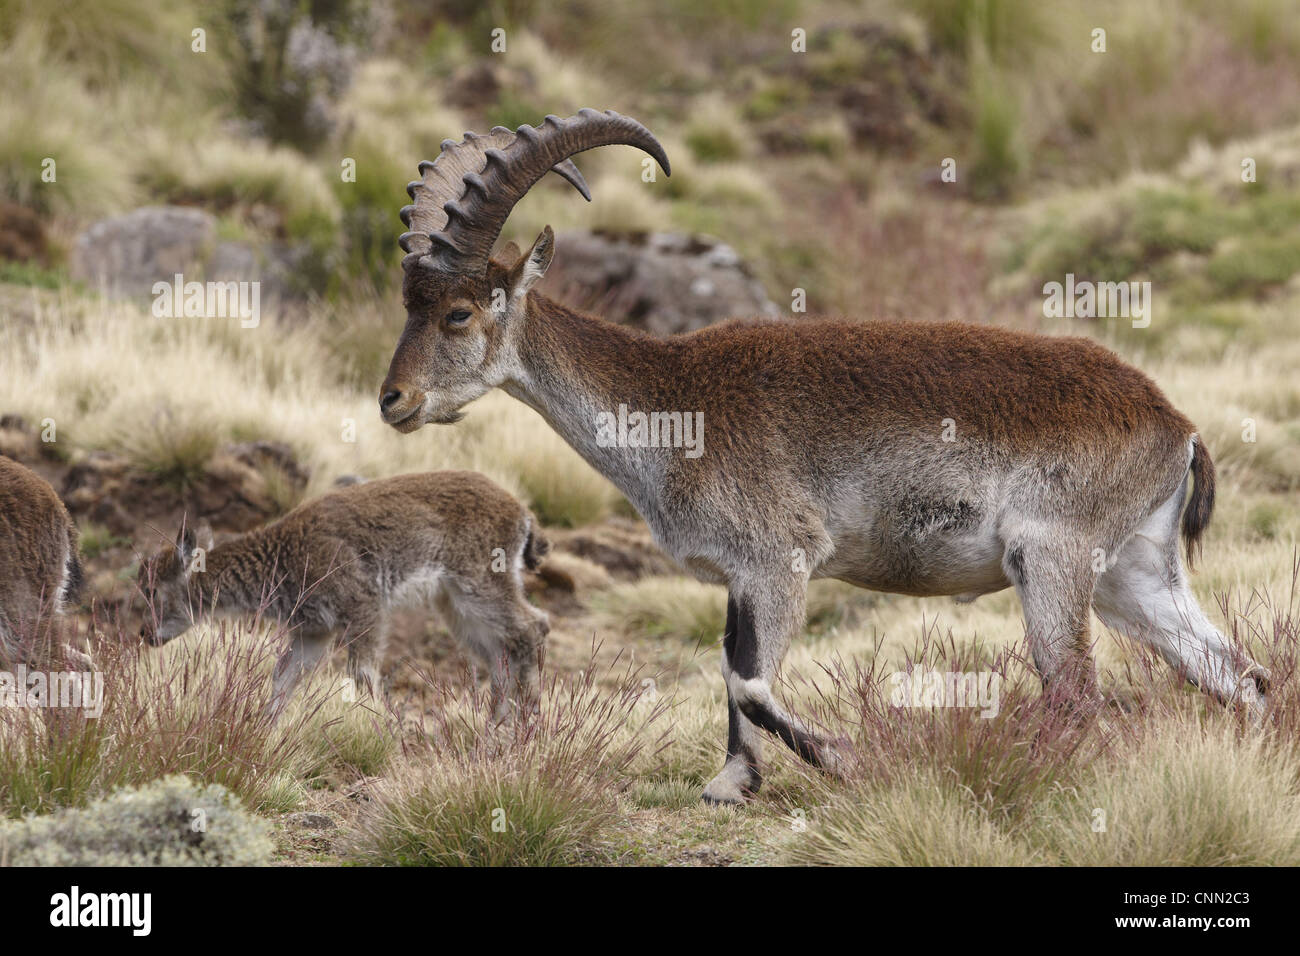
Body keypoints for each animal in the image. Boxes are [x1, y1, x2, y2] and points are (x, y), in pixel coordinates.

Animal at [135, 471, 550, 717]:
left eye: (153, 590)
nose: (145, 634)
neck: (284, 555)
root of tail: (523, 514)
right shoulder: (314, 632)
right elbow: (282, 678)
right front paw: (262, 732)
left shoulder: (363, 605)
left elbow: (362, 674)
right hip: (453, 603)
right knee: (501, 650)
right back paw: (498, 728)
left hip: (479, 583)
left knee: (533, 627)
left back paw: (524, 721)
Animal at [377, 109, 1269, 804]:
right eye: (409, 304)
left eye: (458, 312)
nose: (393, 401)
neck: (673, 407)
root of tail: (1175, 423)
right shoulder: (743, 578)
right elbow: (732, 673)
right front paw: (734, 784)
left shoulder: (782, 559)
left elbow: (749, 680)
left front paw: (844, 758)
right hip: (1134, 575)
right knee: (1242, 679)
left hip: (1051, 558)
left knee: (1077, 693)